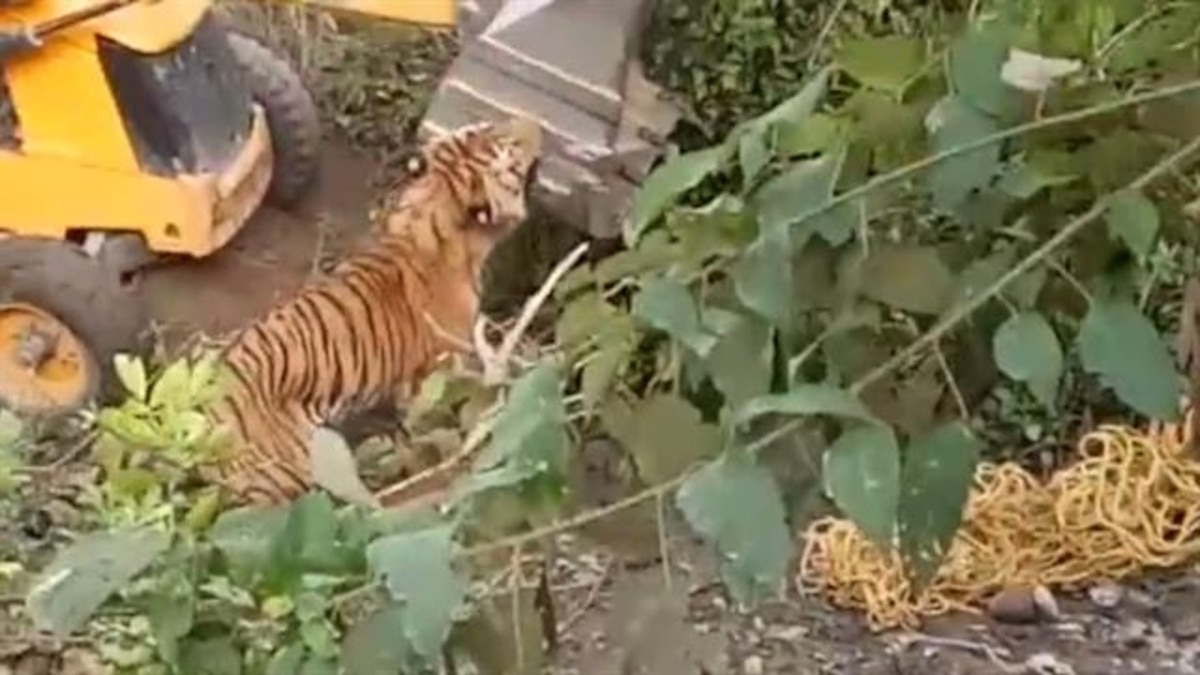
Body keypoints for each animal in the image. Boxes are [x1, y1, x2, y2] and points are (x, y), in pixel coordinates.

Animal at [199, 115, 544, 506]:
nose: (535, 122)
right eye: (511, 150)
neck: (435, 201)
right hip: (287, 476)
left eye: (487, 126)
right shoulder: (439, 365)